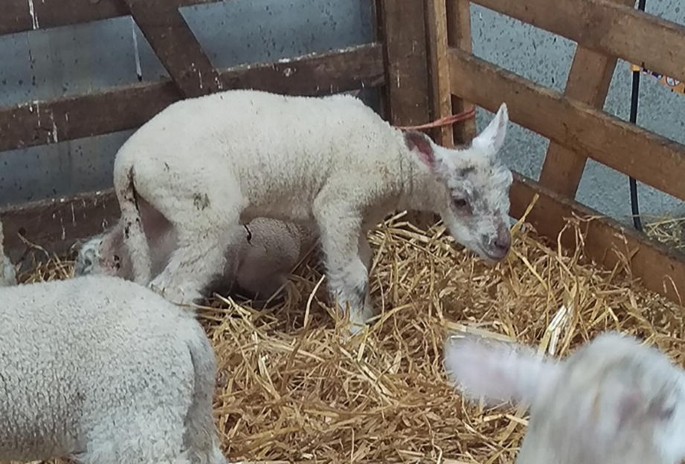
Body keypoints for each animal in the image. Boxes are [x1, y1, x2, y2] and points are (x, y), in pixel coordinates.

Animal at [113, 89, 513, 332]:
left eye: (507, 187)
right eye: (460, 200)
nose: (502, 244)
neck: (395, 161)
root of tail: (126, 159)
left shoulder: (358, 219)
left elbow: (362, 264)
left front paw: (364, 317)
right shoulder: (338, 206)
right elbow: (352, 275)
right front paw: (355, 333)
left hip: (157, 212)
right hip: (204, 209)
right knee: (173, 289)